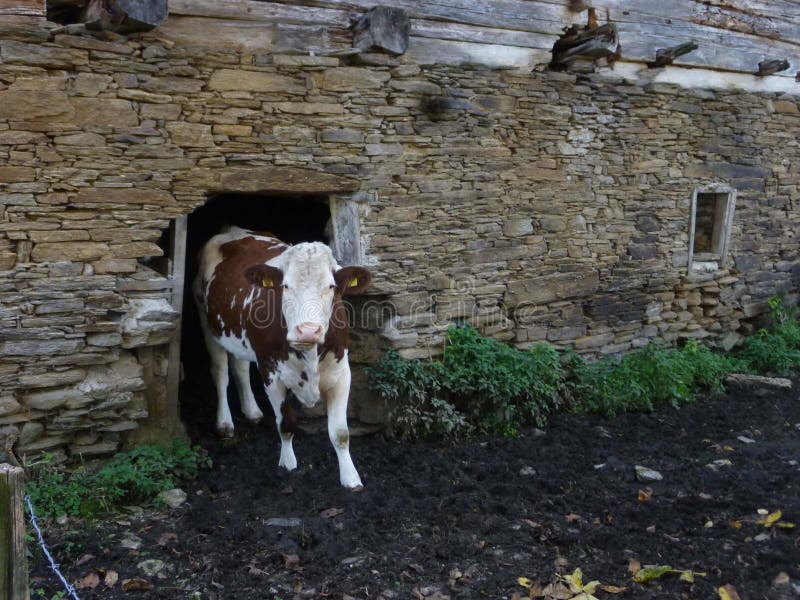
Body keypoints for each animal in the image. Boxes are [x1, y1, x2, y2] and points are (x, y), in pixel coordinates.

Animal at [193, 226, 370, 490]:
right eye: (285, 286)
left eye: (331, 286)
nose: (307, 330)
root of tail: (232, 230)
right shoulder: (270, 372)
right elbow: (285, 425)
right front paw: (288, 465)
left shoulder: (341, 372)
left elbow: (341, 433)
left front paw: (351, 478)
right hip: (208, 324)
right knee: (221, 372)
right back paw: (224, 423)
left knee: (240, 367)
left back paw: (252, 411)